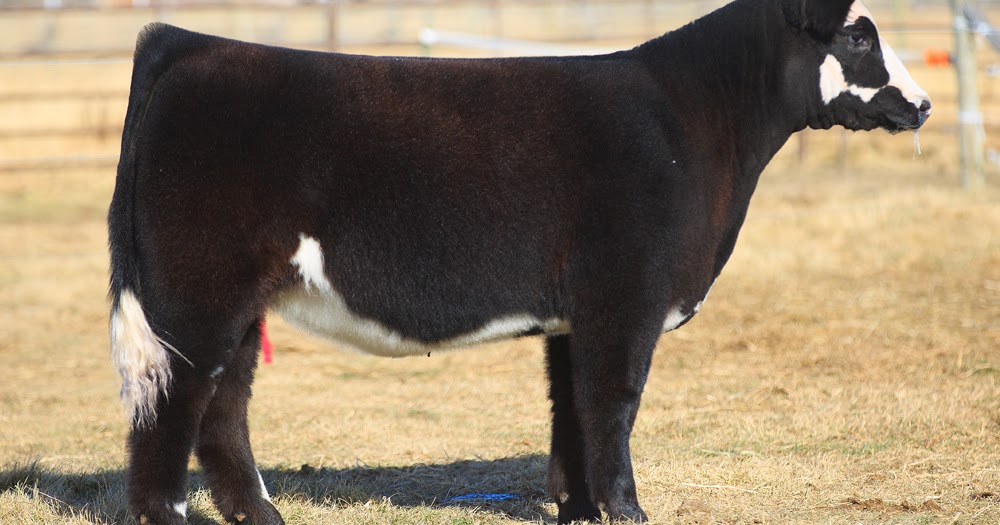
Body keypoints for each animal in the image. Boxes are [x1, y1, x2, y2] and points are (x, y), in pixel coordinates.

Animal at [108, 0, 930, 523]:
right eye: (858, 37)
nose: (921, 104)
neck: (694, 121)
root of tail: (187, 43)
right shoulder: (625, 299)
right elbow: (613, 404)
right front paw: (628, 510)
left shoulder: (575, 313)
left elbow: (570, 411)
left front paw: (579, 510)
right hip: (196, 299)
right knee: (173, 414)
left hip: (239, 308)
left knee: (224, 410)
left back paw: (264, 513)